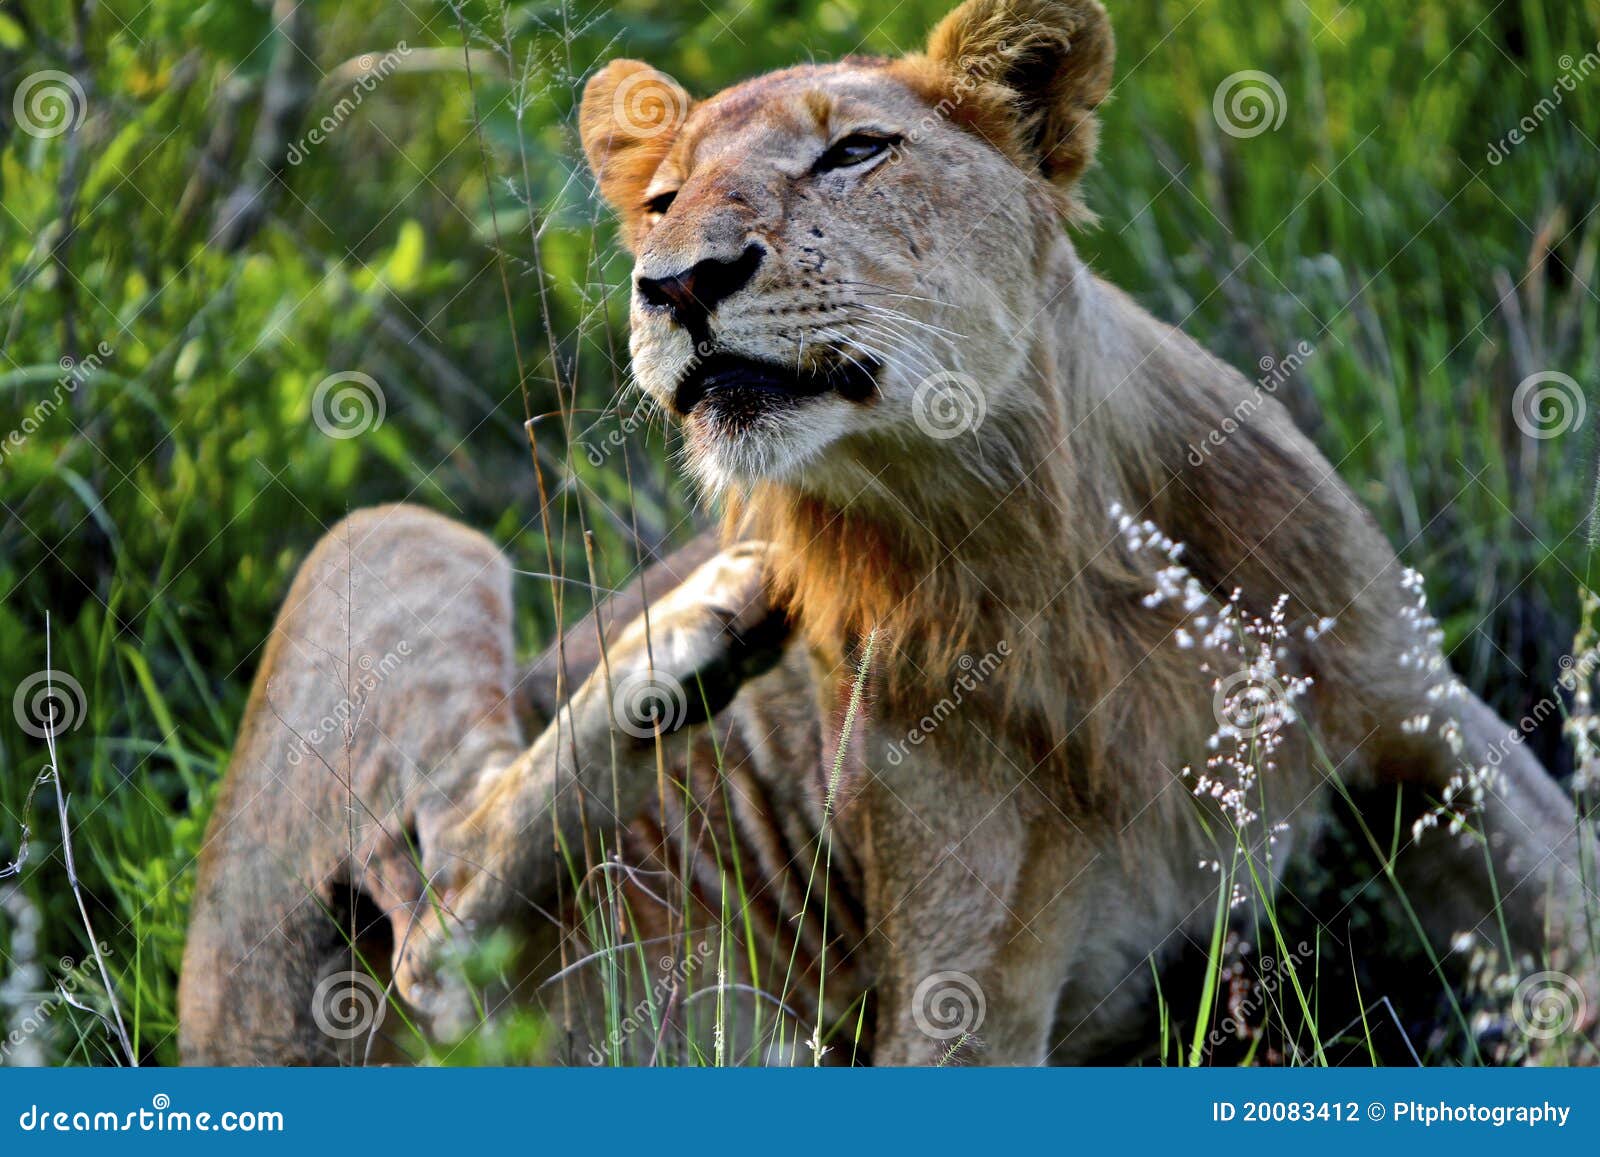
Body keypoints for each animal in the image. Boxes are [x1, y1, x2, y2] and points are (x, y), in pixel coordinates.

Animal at [180, 0, 1596, 1065]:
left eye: (855, 152)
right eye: (662, 198)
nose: (677, 282)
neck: (1021, 524)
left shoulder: (1425, 712)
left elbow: (1564, 904)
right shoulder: (962, 990)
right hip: (393, 532)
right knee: (439, 916)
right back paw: (698, 637)